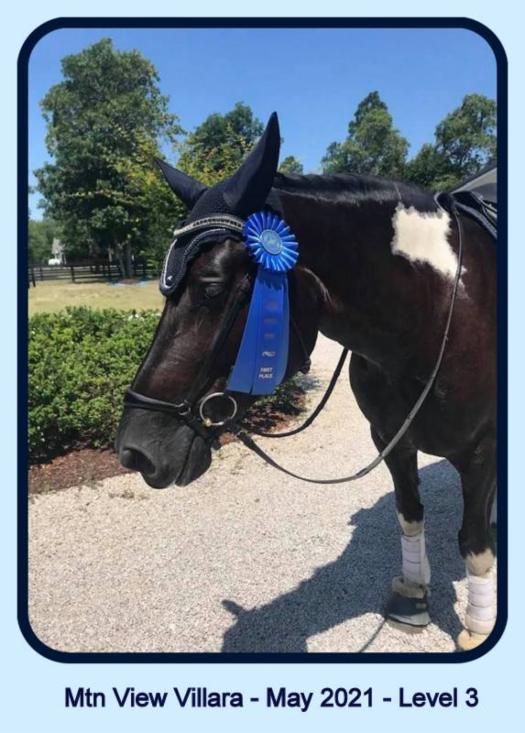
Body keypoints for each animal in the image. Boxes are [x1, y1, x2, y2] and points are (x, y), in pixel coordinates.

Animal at [116, 113, 497, 652]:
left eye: (211, 288)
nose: (135, 451)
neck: (440, 310)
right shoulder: (392, 440)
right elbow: (409, 512)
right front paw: (413, 594)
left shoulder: (482, 448)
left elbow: (474, 542)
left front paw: (477, 627)